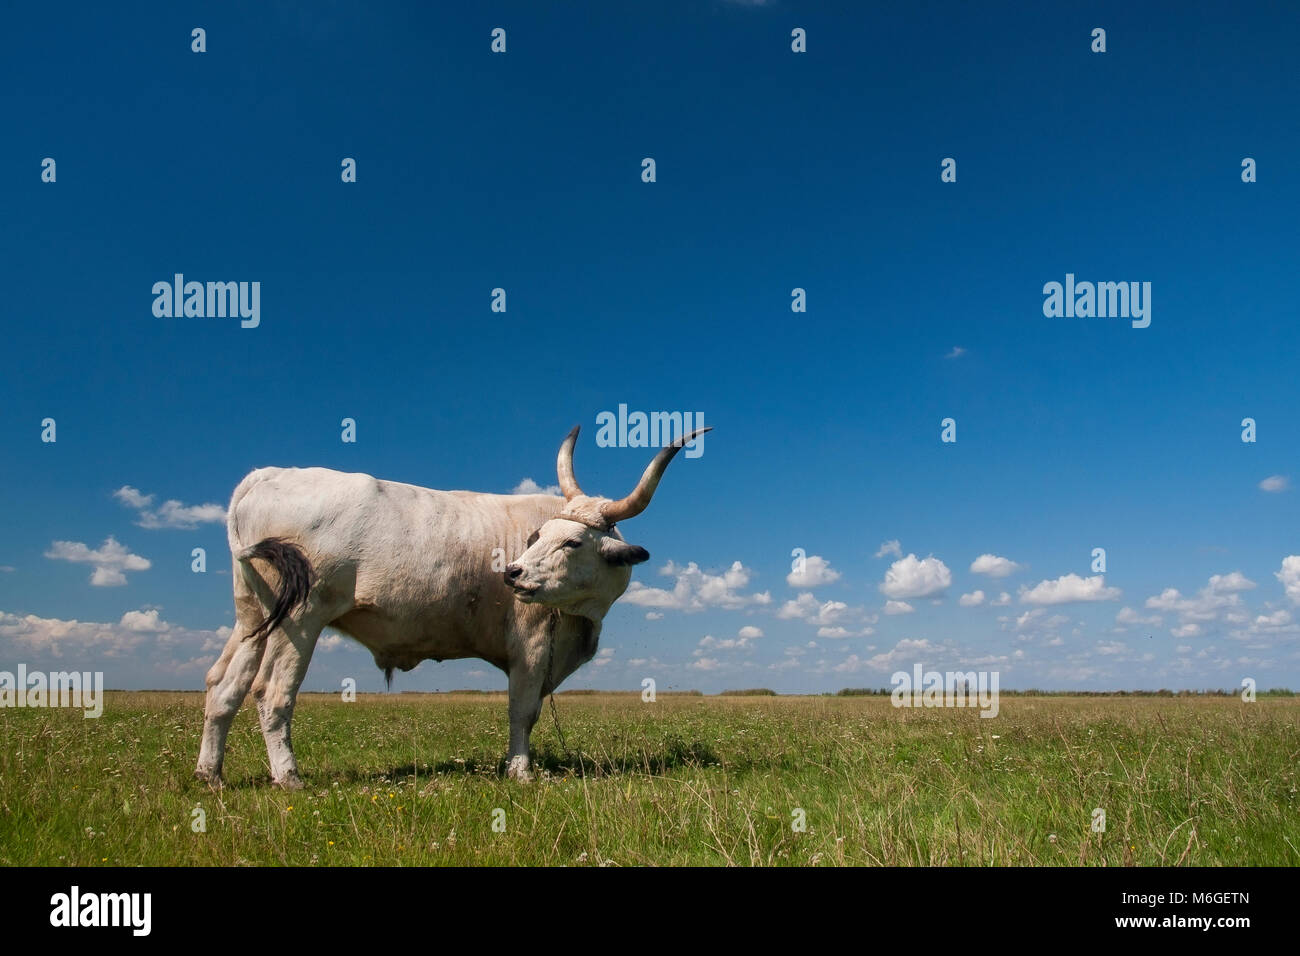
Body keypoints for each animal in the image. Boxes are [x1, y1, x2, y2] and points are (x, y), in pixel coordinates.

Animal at [193, 424, 710, 787]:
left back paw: (210, 775)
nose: (513, 573)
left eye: (572, 542)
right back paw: (289, 777)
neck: (580, 622)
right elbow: (523, 711)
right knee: (272, 692)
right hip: (301, 620)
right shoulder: (530, 644)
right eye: (539, 536)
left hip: (255, 617)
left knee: (224, 687)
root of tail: (267, 475)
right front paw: (521, 772)